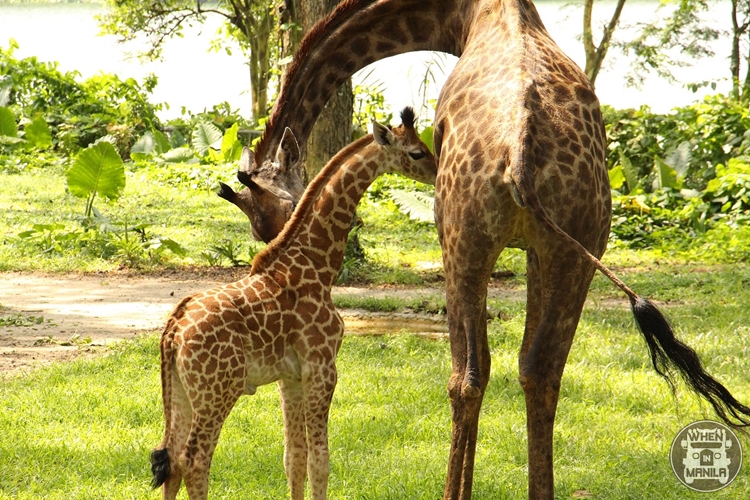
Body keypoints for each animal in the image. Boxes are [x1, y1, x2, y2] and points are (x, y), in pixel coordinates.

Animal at [149, 108, 436, 500]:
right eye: (418, 152)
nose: (438, 172)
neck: (317, 266)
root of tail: (173, 330)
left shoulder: (291, 376)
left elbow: (294, 457)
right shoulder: (323, 368)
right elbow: (320, 461)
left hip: (180, 388)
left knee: (172, 460)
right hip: (217, 390)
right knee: (194, 460)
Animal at [237, 0, 750, 498]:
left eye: (263, 216)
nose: (272, 256)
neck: (459, 15)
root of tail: (520, 148)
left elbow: (476, 366)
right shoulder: (539, 250)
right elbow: (526, 361)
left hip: (462, 243)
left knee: (465, 376)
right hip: (579, 246)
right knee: (541, 370)